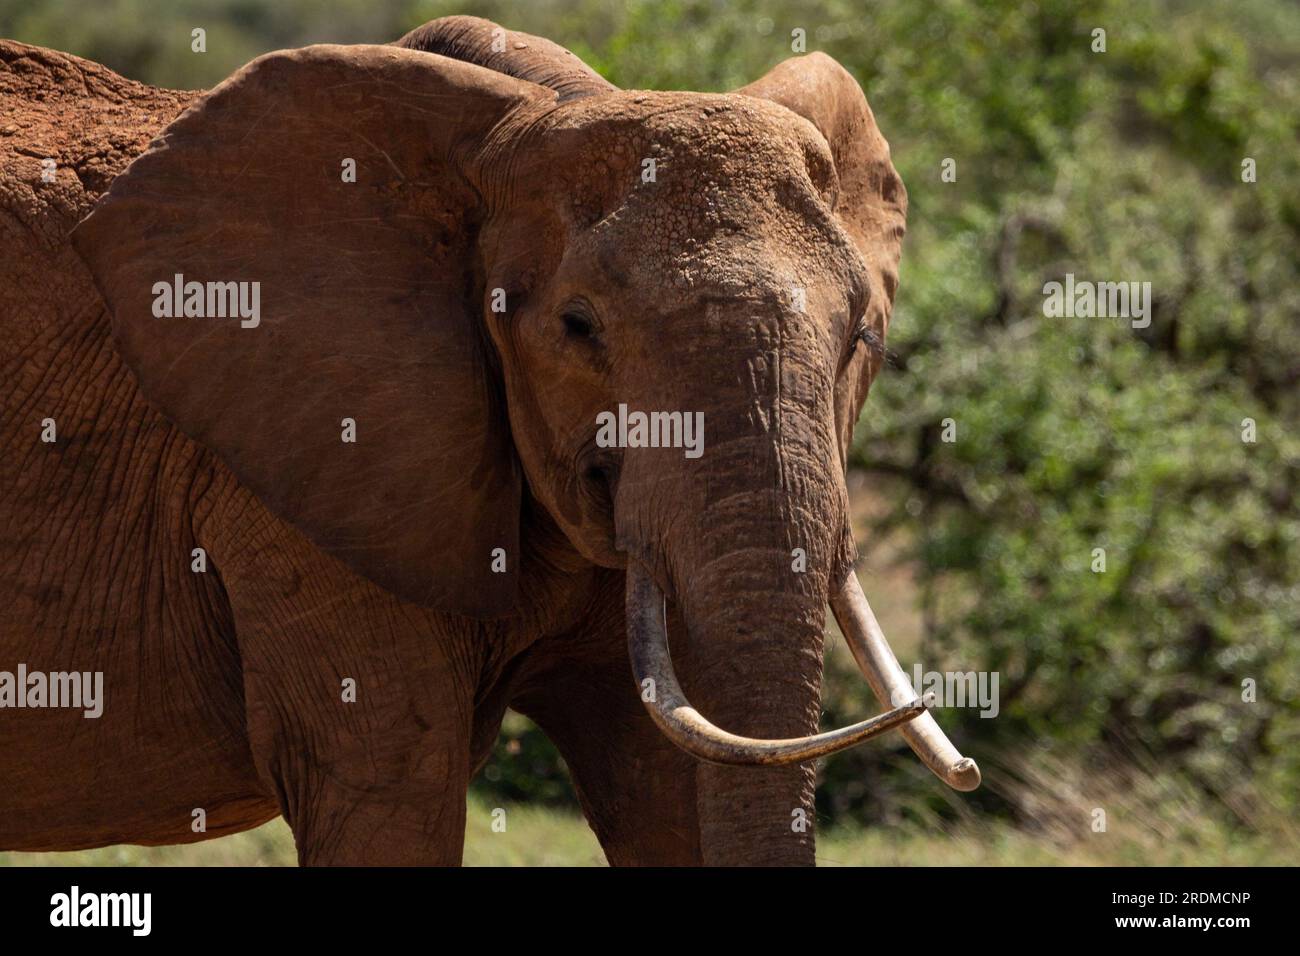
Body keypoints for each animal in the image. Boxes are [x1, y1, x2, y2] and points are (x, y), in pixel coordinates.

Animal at [0, 15, 977, 866]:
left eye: (862, 338)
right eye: (578, 327)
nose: (961, 759)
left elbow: (671, 786)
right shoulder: (301, 476)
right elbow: (391, 793)